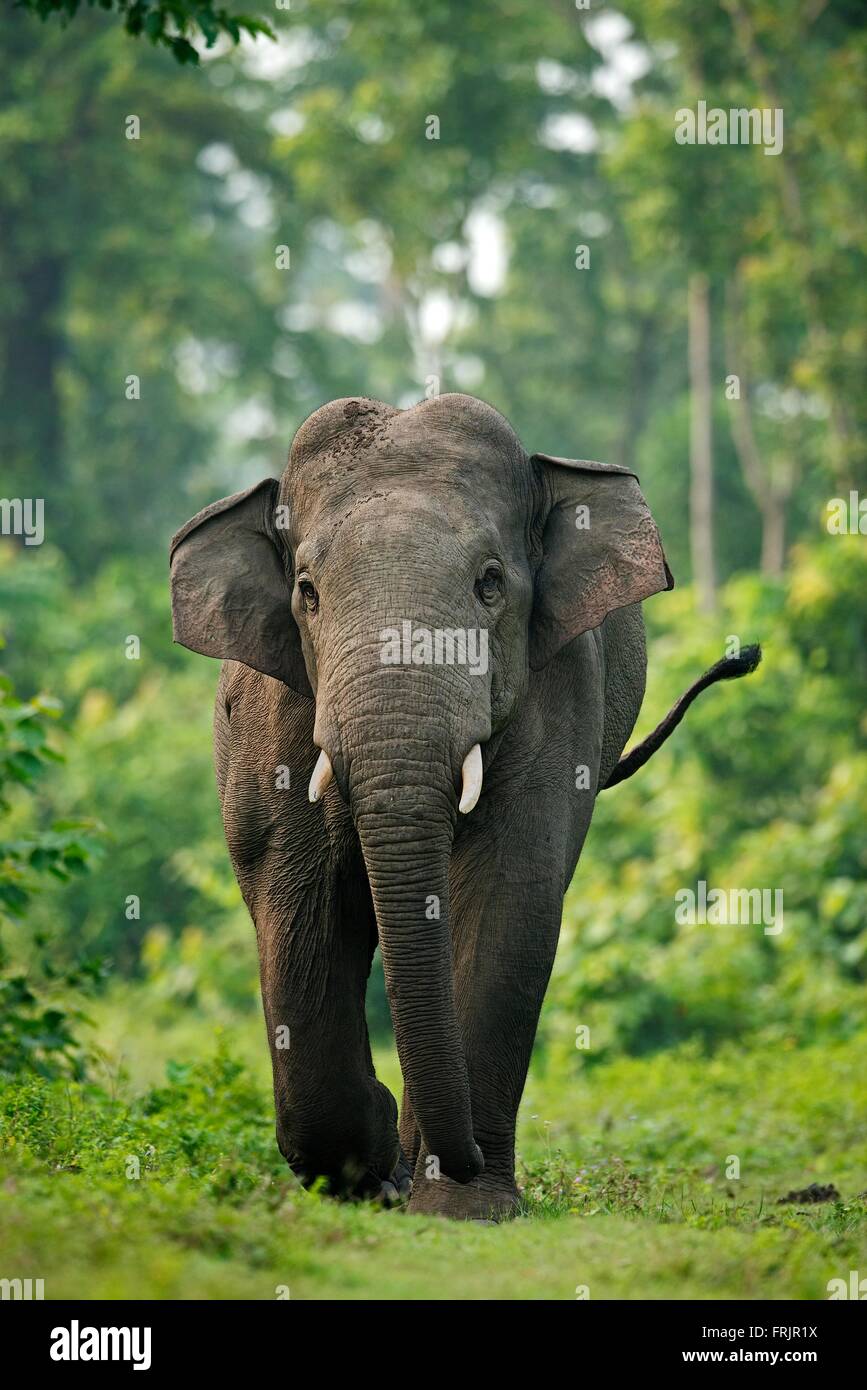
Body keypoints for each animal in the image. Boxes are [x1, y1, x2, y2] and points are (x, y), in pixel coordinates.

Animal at [170, 392, 761, 1220]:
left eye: (490, 583)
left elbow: (508, 891)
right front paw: (368, 1167)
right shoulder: (272, 709)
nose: (745, 654)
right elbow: (299, 901)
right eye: (307, 593)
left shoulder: (558, 683)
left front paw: (462, 1206)